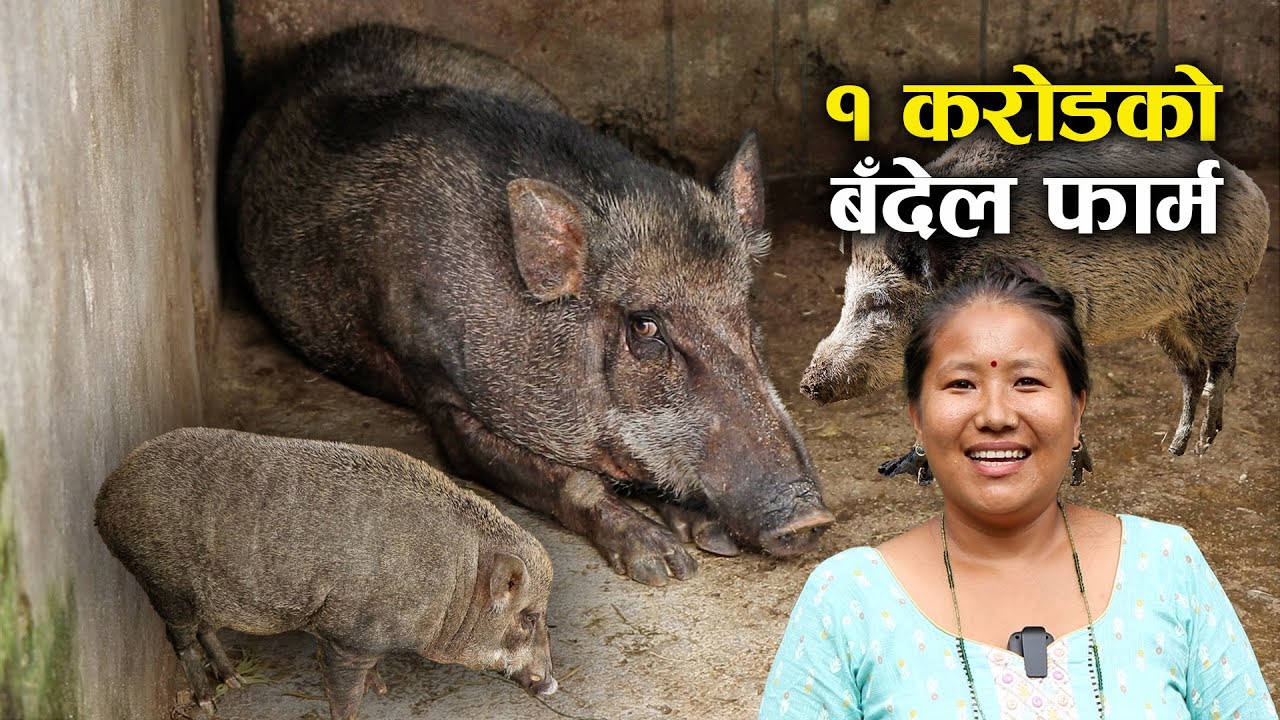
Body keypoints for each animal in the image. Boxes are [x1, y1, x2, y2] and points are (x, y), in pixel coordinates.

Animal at [94, 427, 556, 720]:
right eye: (529, 617)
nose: (551, 684)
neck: (454, 582)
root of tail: (102, 501)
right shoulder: (347, 636)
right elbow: (343, 695)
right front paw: (369, 697)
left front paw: (381, 688)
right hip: (164, 583)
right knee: (181, 637)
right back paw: (210, 702)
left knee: (207, 629)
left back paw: (237, 681)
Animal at [228, 24, 834, 586]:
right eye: (644, 326)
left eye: (746, 304)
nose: (811, 518)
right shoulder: (439, 393)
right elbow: (568, 479)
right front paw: (666, 566)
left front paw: (710, 538)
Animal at [802, 127, 1270, 457]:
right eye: (846, 299)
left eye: (880, 303)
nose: (808, 384)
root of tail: (1253, 188)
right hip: (1164, 319)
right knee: (1190, 371)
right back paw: (1175, 450)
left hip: (1219, 295)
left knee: (1225, 357)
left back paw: (1205, 445)